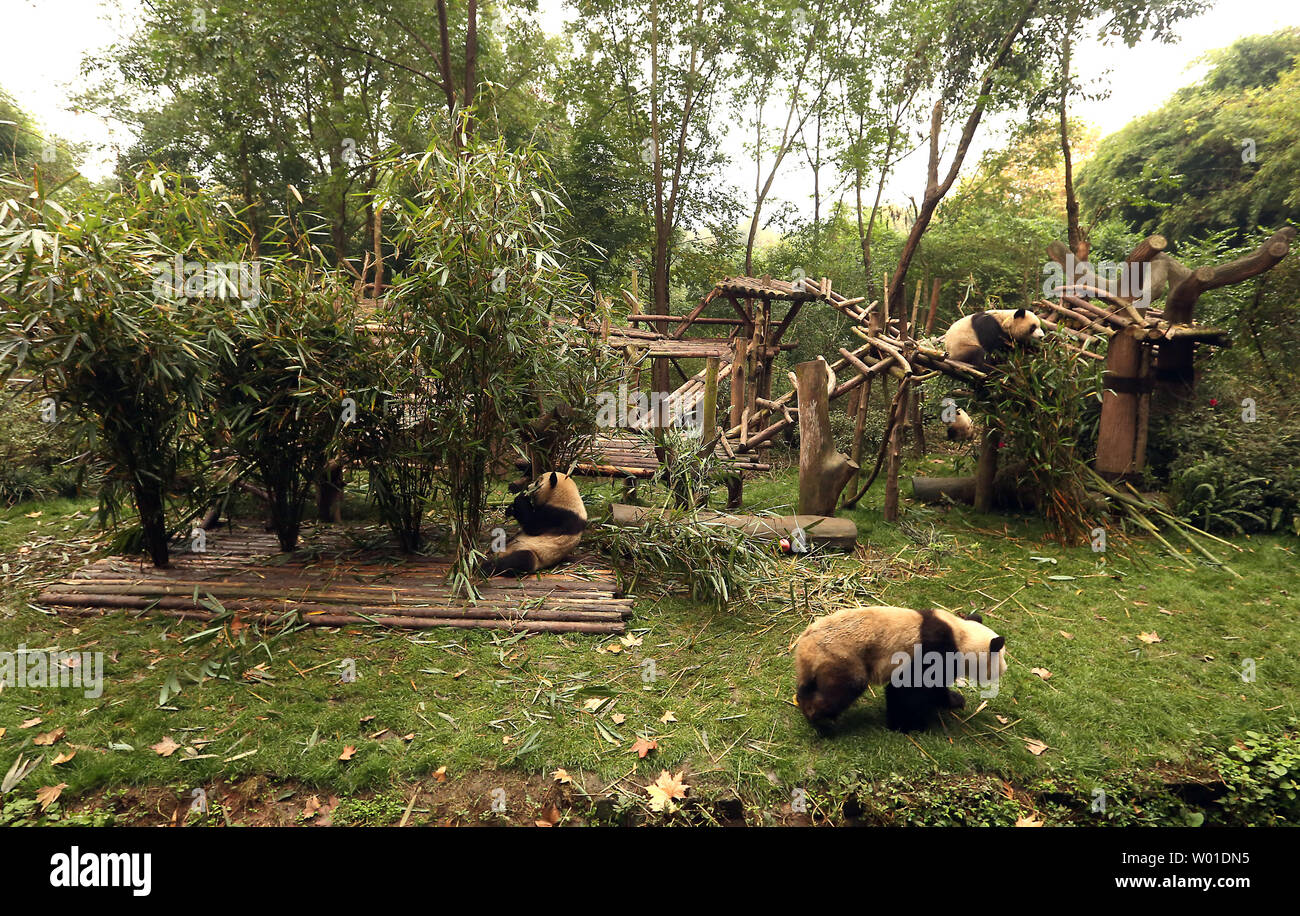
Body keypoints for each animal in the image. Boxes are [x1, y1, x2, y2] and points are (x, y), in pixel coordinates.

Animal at [793, 605, 1007, 732]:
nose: (1004, 669)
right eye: (1001, 655)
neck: (961, 635)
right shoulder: (935, 651)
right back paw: (818, 717)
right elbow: (910, 690)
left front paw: (954, 700)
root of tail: (804, 645)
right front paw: (906, 725)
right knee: (843, 689)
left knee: (810, 687)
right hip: (843, 658)